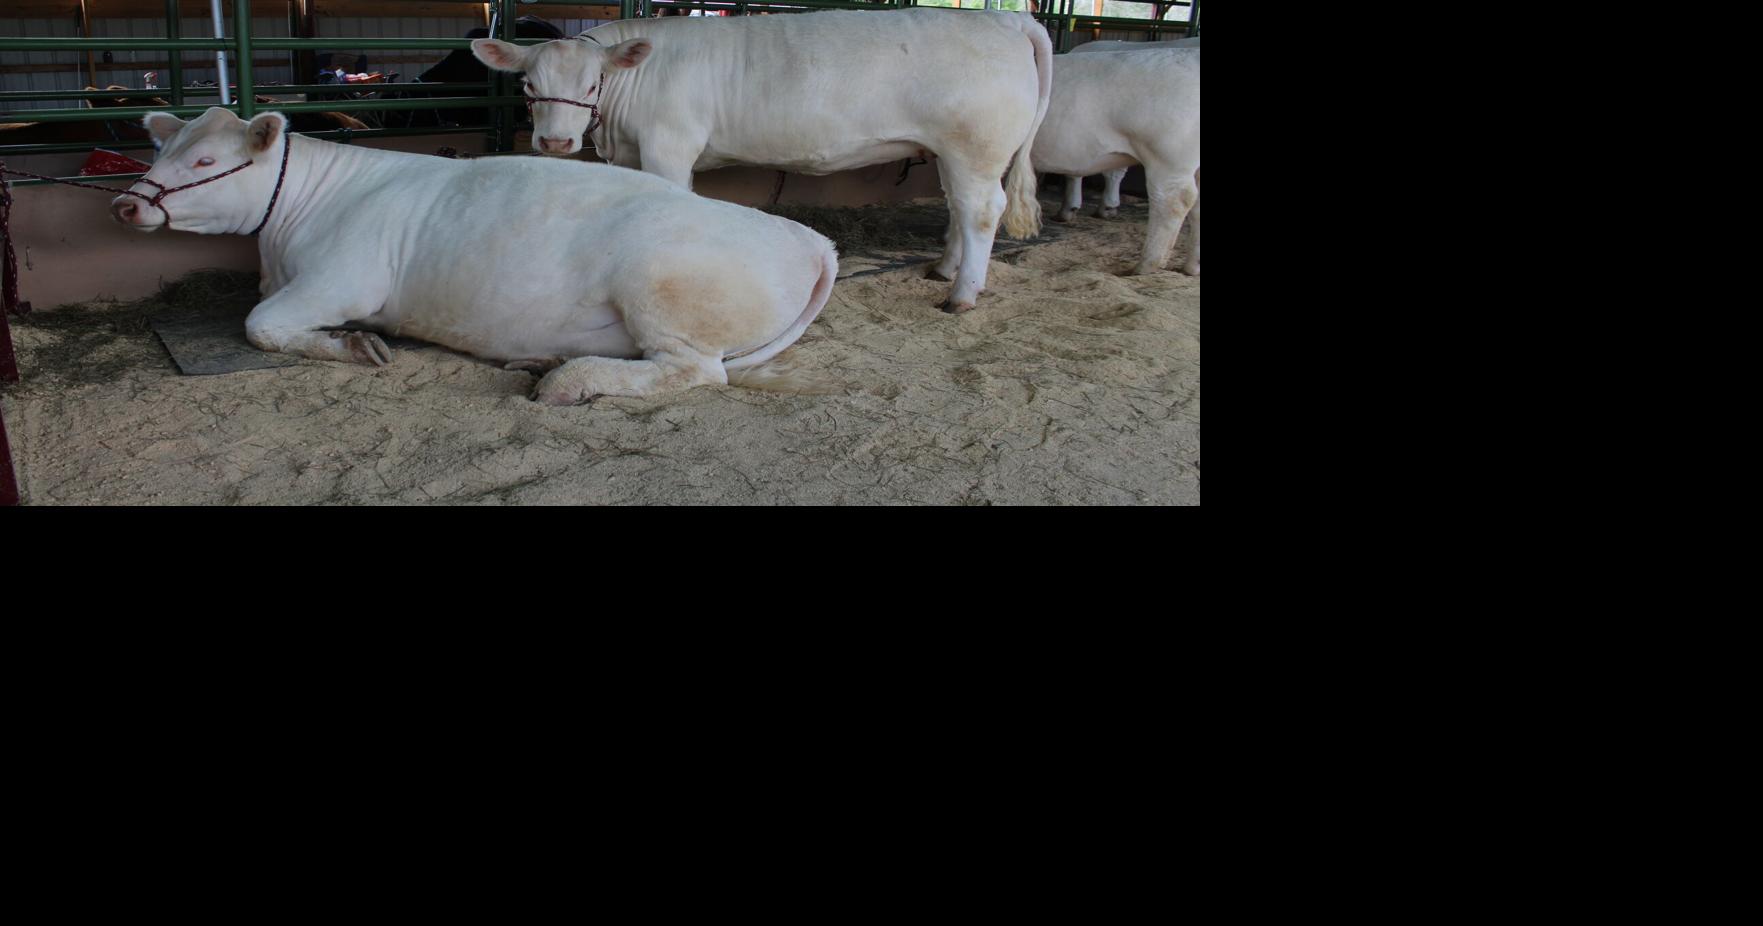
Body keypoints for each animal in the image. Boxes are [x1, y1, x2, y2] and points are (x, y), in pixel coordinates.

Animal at [110, 107, 839, 405]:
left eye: (205, 161)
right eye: (162, 151)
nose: (124, 205)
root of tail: (807, 237)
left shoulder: (341, 281)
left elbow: (260, 326)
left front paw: (355, 345)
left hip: (662, 291)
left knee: (693, 372)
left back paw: (570, 380)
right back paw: (546, 359)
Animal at [470, 8, 1052, 314]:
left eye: (593, 84)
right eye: (527, 85)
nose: (554, 144)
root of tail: (1007, 18)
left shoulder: (668, 145)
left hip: (975, 145)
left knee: (982, 210)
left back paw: (962, 294)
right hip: (957, 153)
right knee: (960, 207)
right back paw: (944, 268)